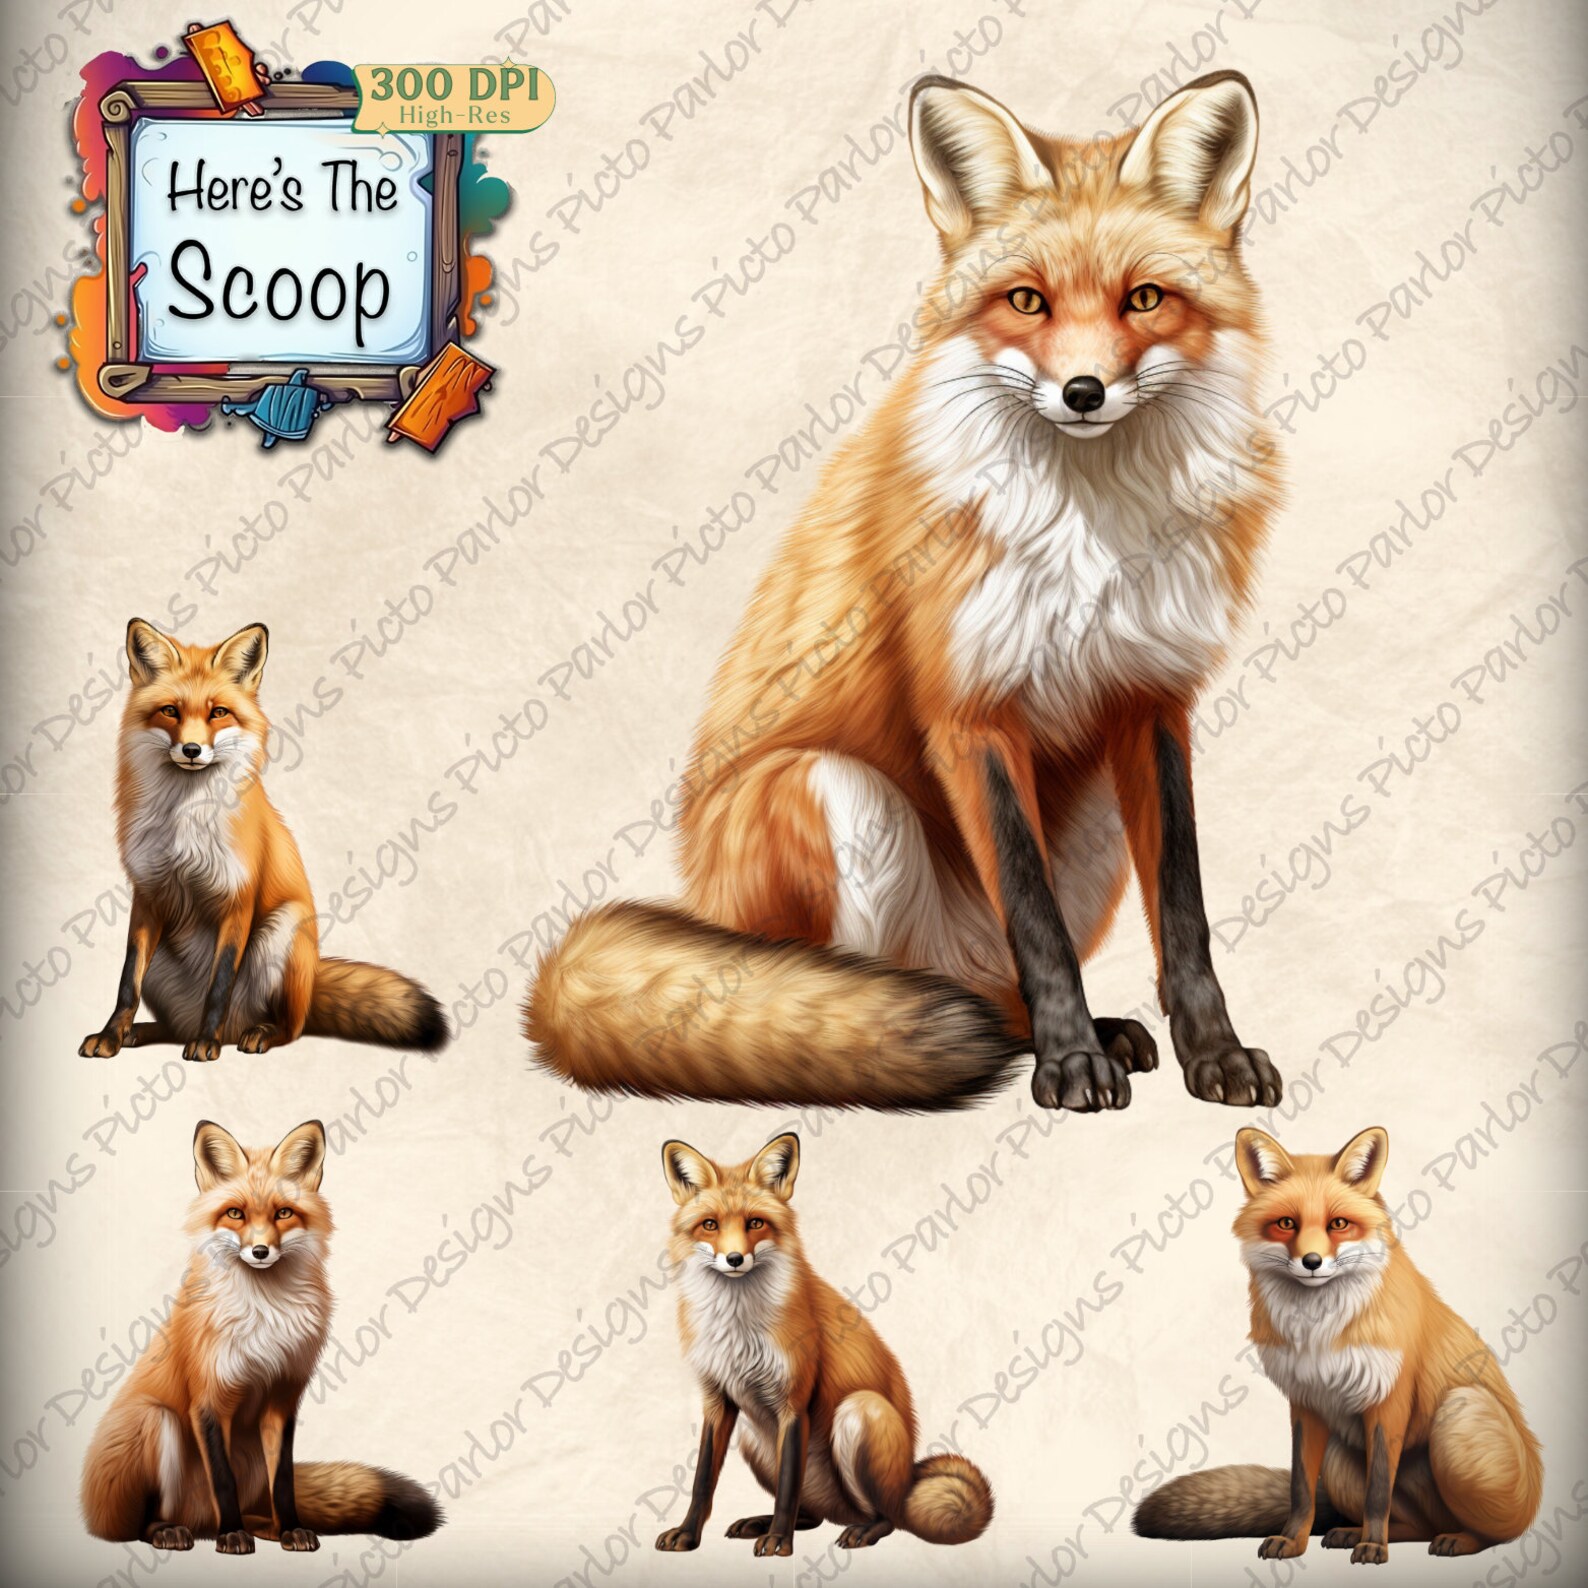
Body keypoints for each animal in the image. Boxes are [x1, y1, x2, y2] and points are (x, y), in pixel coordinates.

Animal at [78, 618, 448, 1063]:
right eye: (170, 711)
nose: (191, 749)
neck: (186, 818)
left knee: (291, 1027)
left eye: (218, 713)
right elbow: (127, 982)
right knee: (173, 1023)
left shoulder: (239, 897)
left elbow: (219, 984)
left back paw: (253, 1034)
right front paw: (112, 1034)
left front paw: (206, 1041)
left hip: (281, 933)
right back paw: (148, 1031)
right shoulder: (147, 894)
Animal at [80, 1119, 442, 1552]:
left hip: (248, 1447)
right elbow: (223, 1481)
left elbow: (283, 1482)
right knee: (139, 1525)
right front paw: (231, 1535)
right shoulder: (209, 1401)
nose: (260, 1251)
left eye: (283, 1213)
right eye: (235, 1213)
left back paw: (266, 1528)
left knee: (252, 1505)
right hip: (156, 1422)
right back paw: (170, 1530)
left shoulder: (283, 1399)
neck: (264, 1316)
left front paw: (291, 1530)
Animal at [527, 70, 1284, 1117]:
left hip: (1084, 812)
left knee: (982, 985)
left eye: (1145, 299)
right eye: (1026, 301)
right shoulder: (968, 709)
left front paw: (1213, 1053)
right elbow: (1036, 919)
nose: (1084, 392)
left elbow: (1184, 910)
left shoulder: (1150, 699)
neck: (1090, 531)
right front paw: (1070, 1062)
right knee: (846, 992)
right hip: (834, 793)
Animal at [654, 1133, 994, 1557]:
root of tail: (907, 1485)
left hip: (859, 1411)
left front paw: (779, 1543)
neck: (737, 1326)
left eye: (755, 1223)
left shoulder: (794, 1400)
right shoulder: (717, 1399)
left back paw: (862, 1530)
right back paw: (760, 1522)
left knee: (889, 1519)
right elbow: (702, 1480)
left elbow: (787, 1486)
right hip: (752, 1433)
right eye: (710, 1225)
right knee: (812, 1515)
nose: (734, 1258)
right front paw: (687, 1534)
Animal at [1133, 1126, 1544, 1563]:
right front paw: (1294, 1542)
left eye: (1339, 1224)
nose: (1312, 1261)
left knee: (1499, 1532)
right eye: (1286, 1223)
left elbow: (1378, 1492)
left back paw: (1456, 1540)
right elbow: (1300, 1489)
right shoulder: (1306, 1401)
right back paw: (1354, 1532)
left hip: (1459, 1413)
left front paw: (1373, 1547)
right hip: (1338, 1453)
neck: (1319, 1331)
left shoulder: (1389, 1402)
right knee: (1414, 1527)